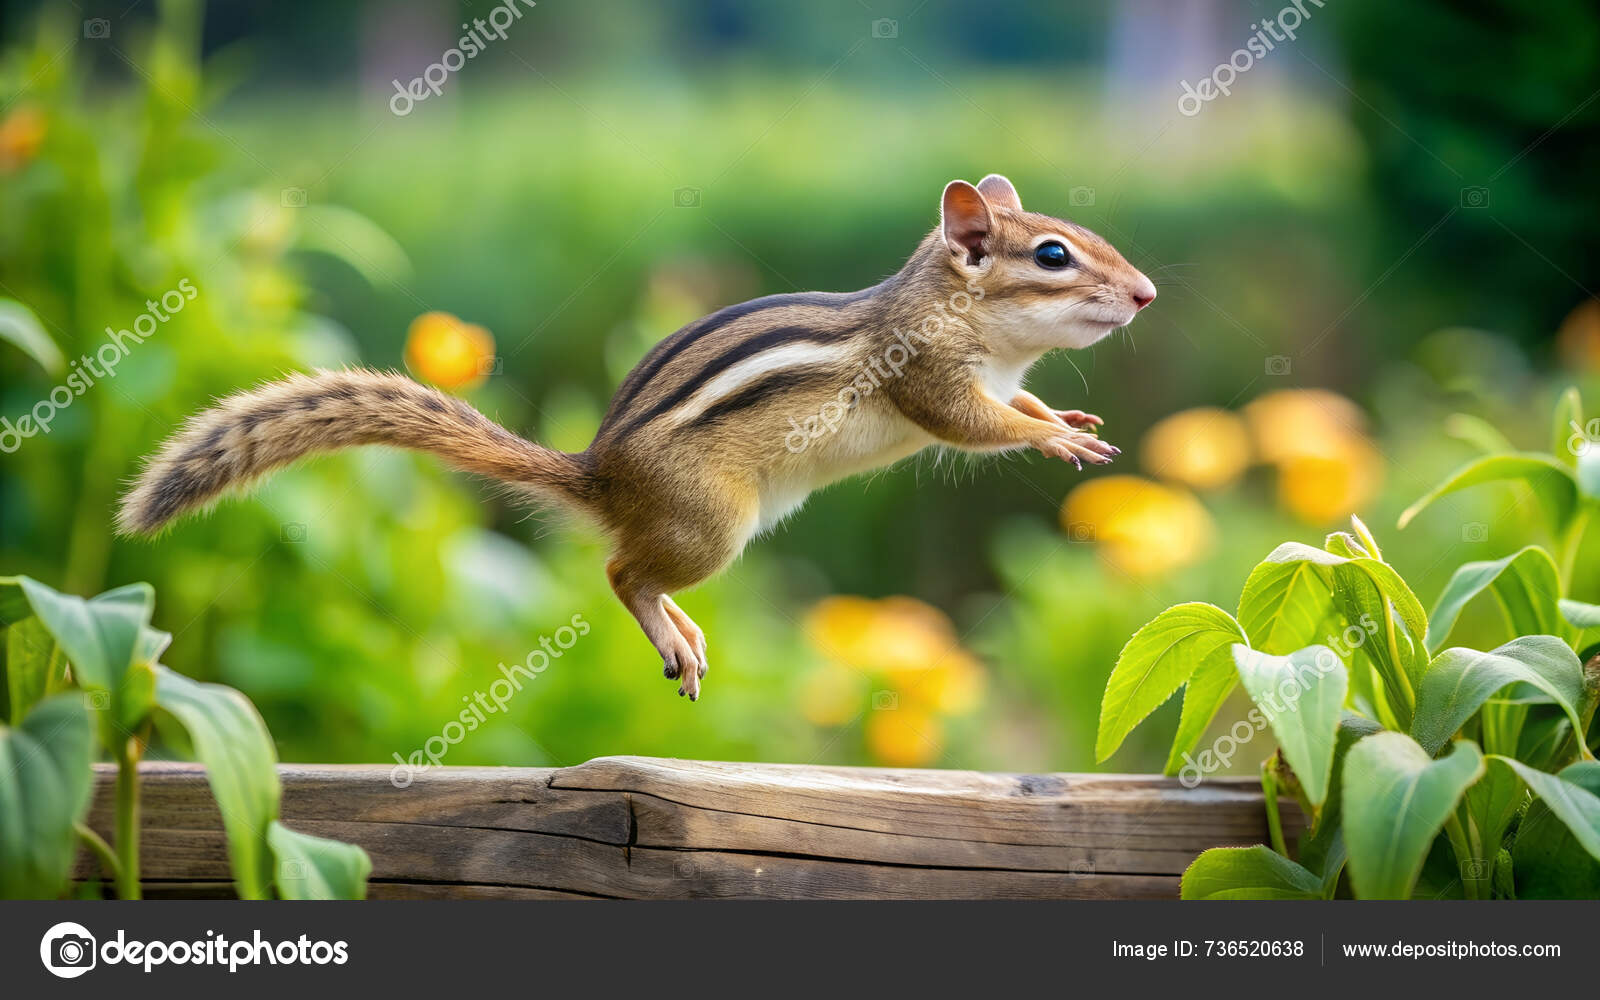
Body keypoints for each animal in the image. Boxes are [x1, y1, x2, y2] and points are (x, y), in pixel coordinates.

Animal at [118, 174, 1155, 701]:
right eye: (1052, 256)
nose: (1146, 294)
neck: (972, 326)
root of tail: (598, 475)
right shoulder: (927, 378)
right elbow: (973, 426)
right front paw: (1058, 445)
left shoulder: (998, 379)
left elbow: (1018, 410)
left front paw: (1064, 423)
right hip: (711, 526)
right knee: (623, 573)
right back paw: (673, 632)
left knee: (638, 571)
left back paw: (686, 630)